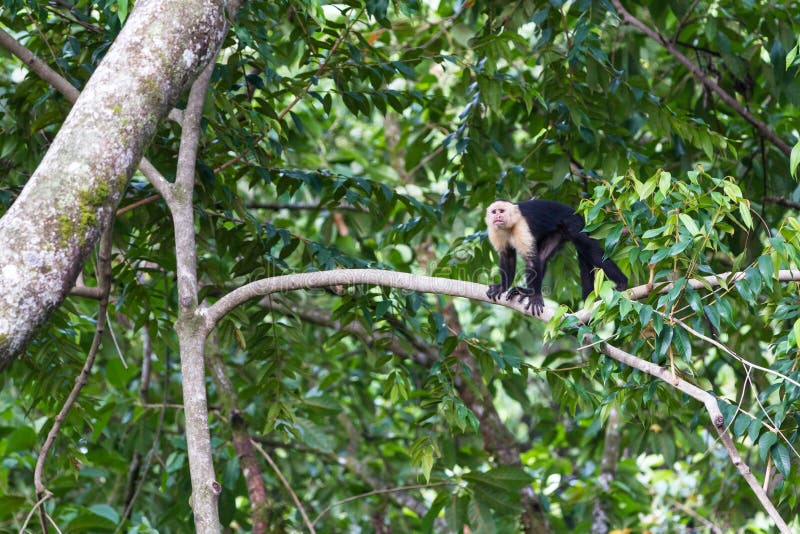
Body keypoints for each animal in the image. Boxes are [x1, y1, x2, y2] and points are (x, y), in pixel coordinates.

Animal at [485, 199, 628, 315]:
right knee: (542, 257)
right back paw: (524, 291)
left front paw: (535, 296)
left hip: (574, 224)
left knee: (590, 250)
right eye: (494, 212)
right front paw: (502, 287)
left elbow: (531, 260)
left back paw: (622, 282)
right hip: (558, 232)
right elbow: (507, 256)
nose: (497, 216)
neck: (508, 227)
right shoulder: (494, 231)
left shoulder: (521, 227)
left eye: (502, 211)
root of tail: (577, 213)